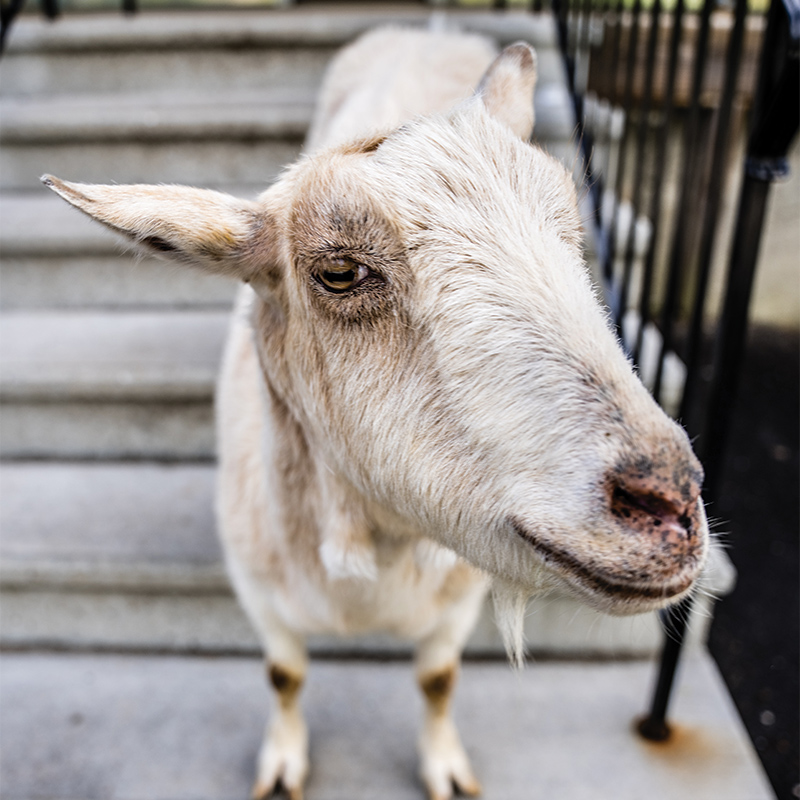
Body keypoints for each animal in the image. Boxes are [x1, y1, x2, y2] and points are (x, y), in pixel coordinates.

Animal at [43, 27, 709, 800]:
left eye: (571, 235)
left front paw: (444, 768)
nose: (666, 506)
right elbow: (285, 675)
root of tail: (432, 28)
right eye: (338, 272)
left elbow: (438, 680)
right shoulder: (258, 591)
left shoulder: (457, 599)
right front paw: (284, 765)